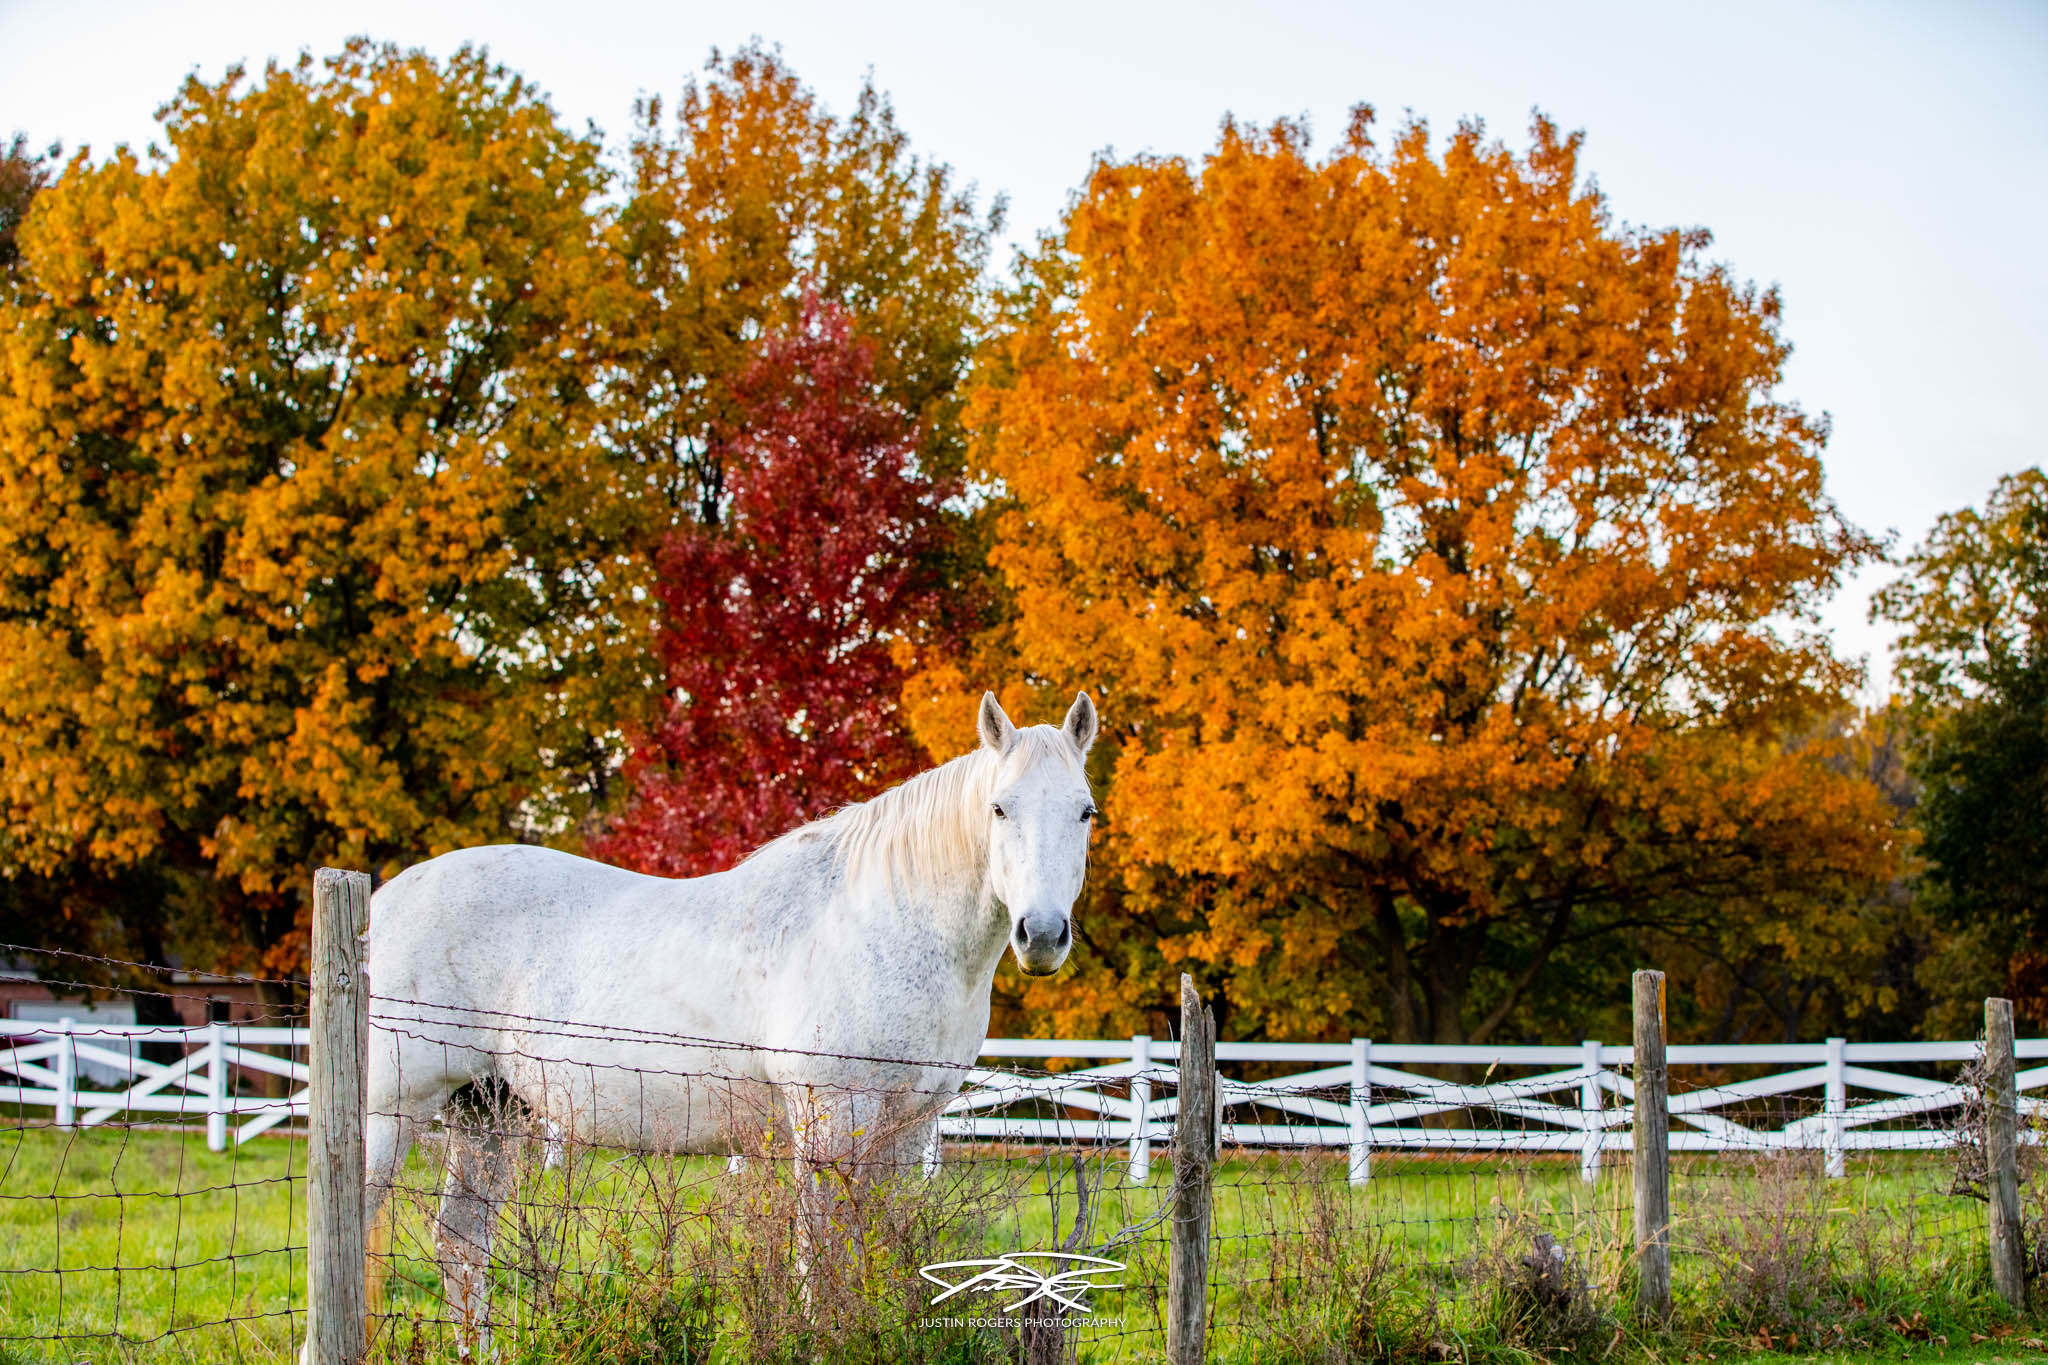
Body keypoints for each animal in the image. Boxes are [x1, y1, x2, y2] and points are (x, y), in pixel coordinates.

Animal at [345, 690, 1098, 1353]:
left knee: (461, 1243)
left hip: (487, 1111)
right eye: (999, 808)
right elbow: (820, 1262)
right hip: (392, 1113)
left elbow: (875, 1253)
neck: (882, 917)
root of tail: (379, 906)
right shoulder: (829, 1120)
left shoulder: (906, 1128)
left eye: (1085, 812)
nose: (1042, 934)